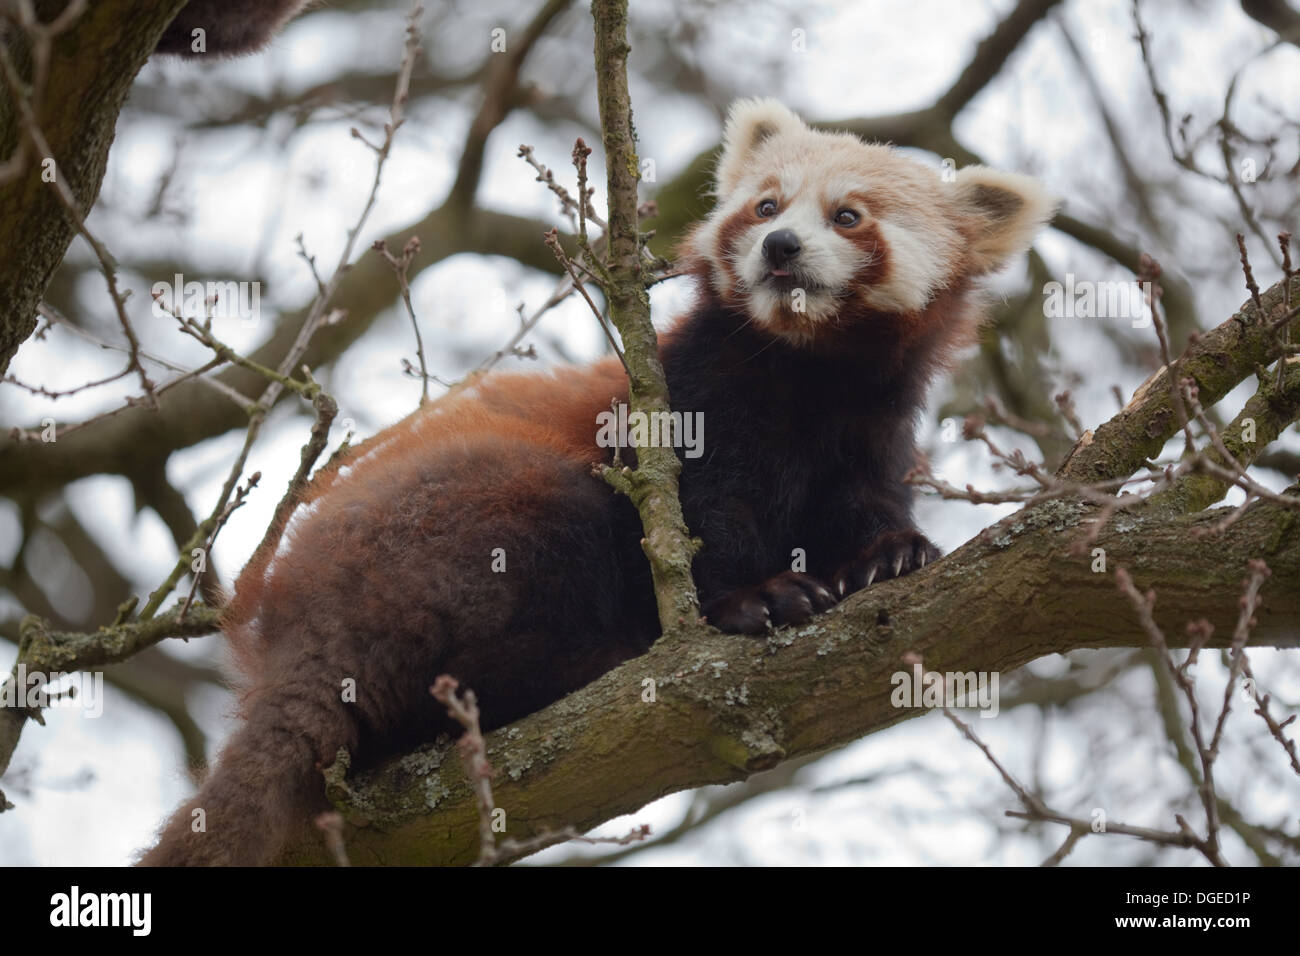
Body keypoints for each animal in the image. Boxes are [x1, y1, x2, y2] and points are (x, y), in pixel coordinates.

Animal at [139, 98, 1055, 868]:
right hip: (460, 519)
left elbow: (865, 504)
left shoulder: (870, 425)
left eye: (847, 215)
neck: (804, 374)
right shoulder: (686, 409)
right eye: (766, 207)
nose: (781, 248)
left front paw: (888, 554)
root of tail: (288, 632)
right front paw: (754, 599)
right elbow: (701, 522)